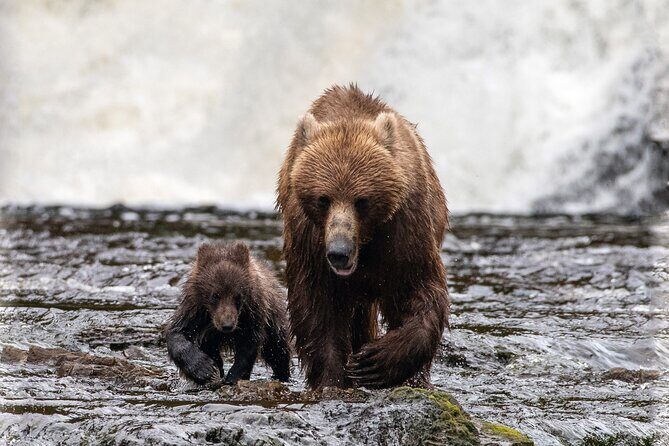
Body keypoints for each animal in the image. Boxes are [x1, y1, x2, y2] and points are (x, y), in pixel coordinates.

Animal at [164, 241, 291, 386]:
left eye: (238, 296)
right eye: (215, 295)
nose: (227, 325)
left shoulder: (252, 313)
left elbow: (249, 346)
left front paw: (233, 376)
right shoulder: (195, 312)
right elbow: (176, 332)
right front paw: (204, 369)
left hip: (274, 318)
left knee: (277, 350)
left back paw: (282, 374)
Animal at [277, 84, 450, 389]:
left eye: (362, 201)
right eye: (323, 199)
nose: (339, 251)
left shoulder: (404, 231)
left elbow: (419, 289)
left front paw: (376, 361)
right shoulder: (309, 240)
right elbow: (316, 309)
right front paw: (333, 378)